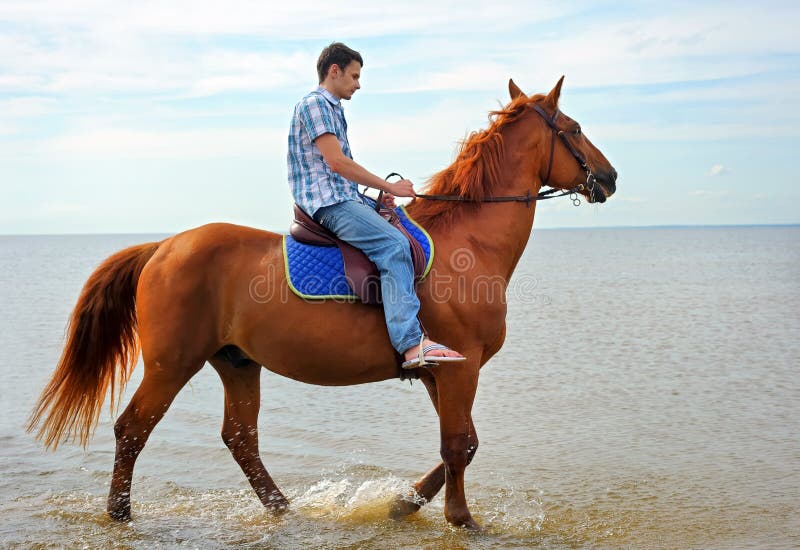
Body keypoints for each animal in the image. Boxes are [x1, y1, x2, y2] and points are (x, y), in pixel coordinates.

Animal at [27, 77, 617, 530]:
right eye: (575, 129)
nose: (609, 178)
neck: (468, 240)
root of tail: (164, 246)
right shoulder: (460, 366)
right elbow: (458, 446)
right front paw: (460, 519)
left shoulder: (440, 370)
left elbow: (462, 444)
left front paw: (403, 504)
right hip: (172, 364)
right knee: (133, 429)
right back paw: (120, 513)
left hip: (237, 363)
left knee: (240, 438)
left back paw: (283, 509)